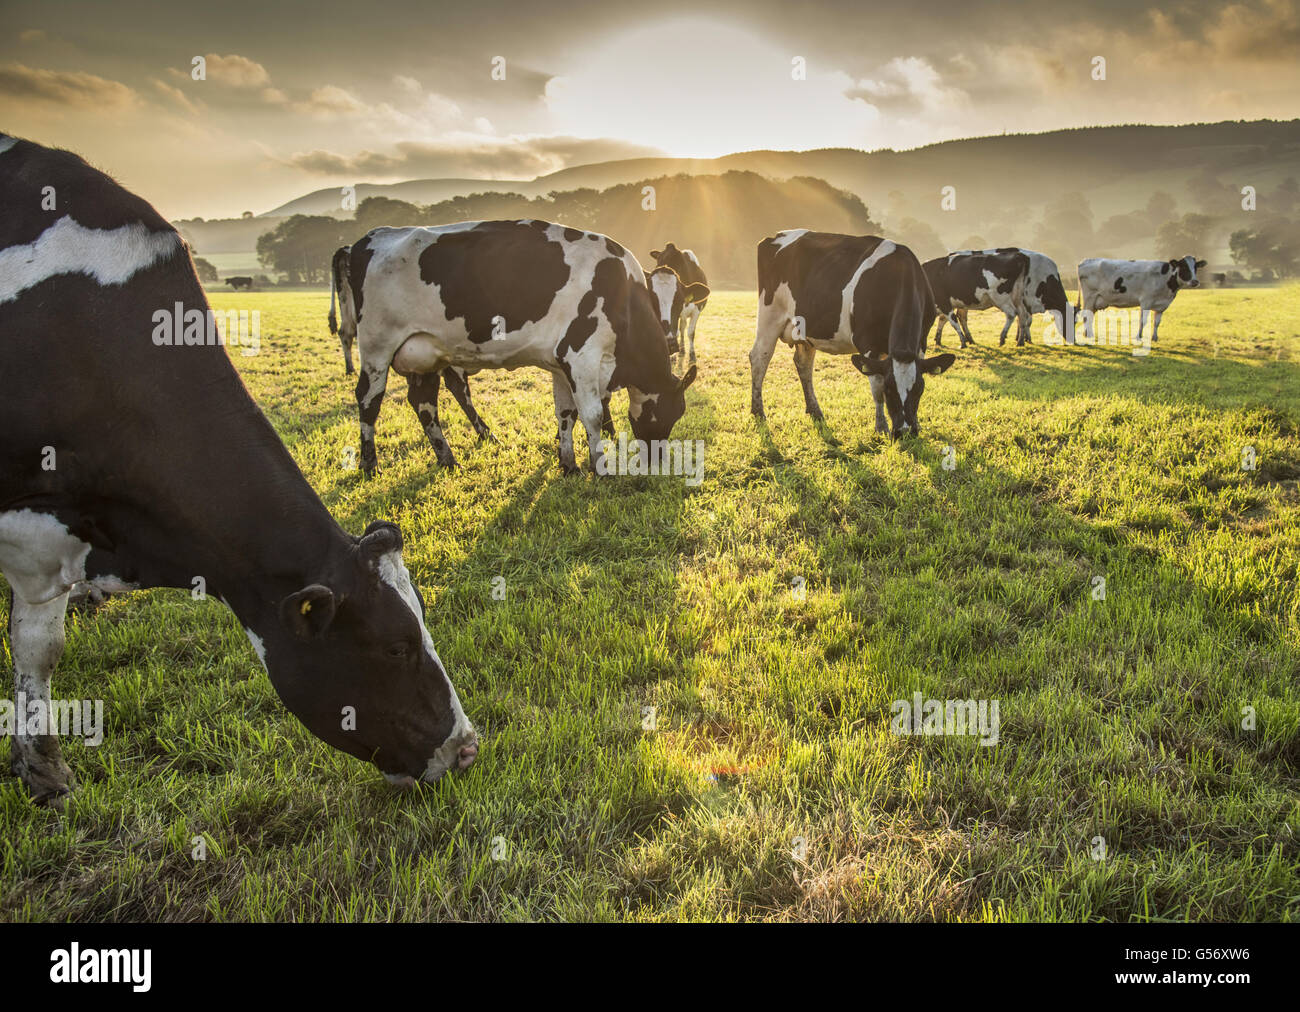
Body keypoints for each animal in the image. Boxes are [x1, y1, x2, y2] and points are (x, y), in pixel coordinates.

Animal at [750, 229, 955, 437]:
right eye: (889, 389)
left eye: (919, 389)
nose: (904, 431)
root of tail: (777, 235)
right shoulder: (868, 343)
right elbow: (876, 386)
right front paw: (881, 427)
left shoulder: (921, 341)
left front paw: (917, 424)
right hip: (770, 316)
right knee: (759, 358)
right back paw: (758, 412)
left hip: (805, 330)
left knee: (803, 364)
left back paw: (815, 411)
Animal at [1076, 255, 1206, 344]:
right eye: (1184, 266)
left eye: (1195, 267)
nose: (1195, 281)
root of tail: (1086, 261)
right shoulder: (1146, 301)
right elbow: (1143, 321)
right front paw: (1138, 337)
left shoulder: (1162, 306)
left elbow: (1157, 322)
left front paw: (1154, 338)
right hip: (1090, 296)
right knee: (1086, 316)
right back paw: (1089, 334)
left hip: (1096, 300)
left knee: (1090, 316)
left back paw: (1087, 333)